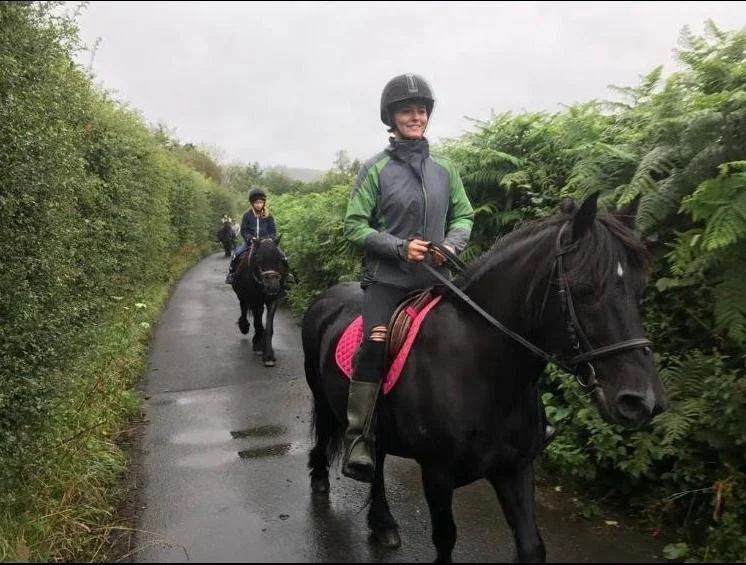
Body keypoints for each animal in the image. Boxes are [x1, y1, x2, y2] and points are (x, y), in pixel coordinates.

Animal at [232, 236, 289, 367]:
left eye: (279, 258)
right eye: (258, 259)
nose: (272, 286)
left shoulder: (273, 301)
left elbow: (268, 328)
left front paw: (269, 355)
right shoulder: (255, 301)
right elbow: (258, 323)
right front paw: (258, 345)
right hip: (241, 295)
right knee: (243, 307)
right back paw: (244, 326)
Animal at [301, 193, 667, 562]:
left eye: (639, 289)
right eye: (585, 289)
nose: (642, 400)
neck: (483, 372)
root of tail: (327, 297)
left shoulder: (515, 468)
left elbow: (532, 545)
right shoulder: (437, 474)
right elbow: (445, 538)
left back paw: (384, 523)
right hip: (322, 396)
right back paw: (320, 481)